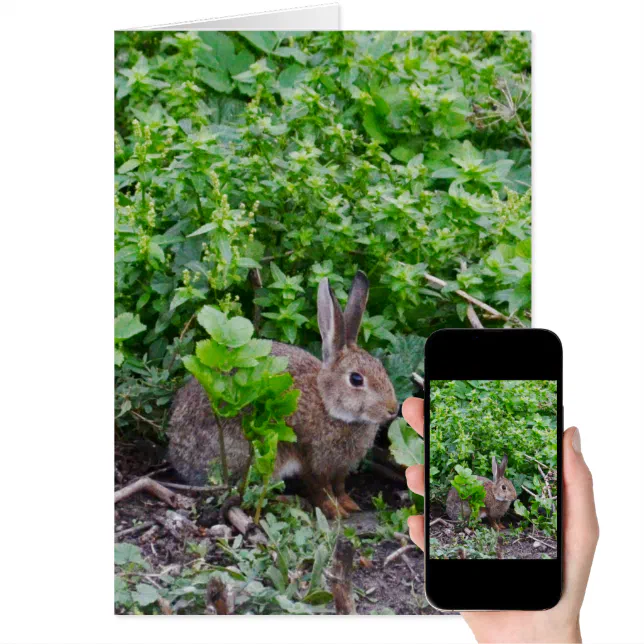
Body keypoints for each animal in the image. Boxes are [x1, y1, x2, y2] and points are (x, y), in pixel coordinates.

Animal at [168, 270, 399, 519]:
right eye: (356, 379)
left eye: (381, 367)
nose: (393, 409)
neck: (328, 405)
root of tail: (177, 454)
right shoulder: (308, 456)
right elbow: (321, 488)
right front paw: (335, 511)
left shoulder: (340, 468)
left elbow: (339, 486)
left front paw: (349, 505)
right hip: (257, 453)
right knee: (251, 491)